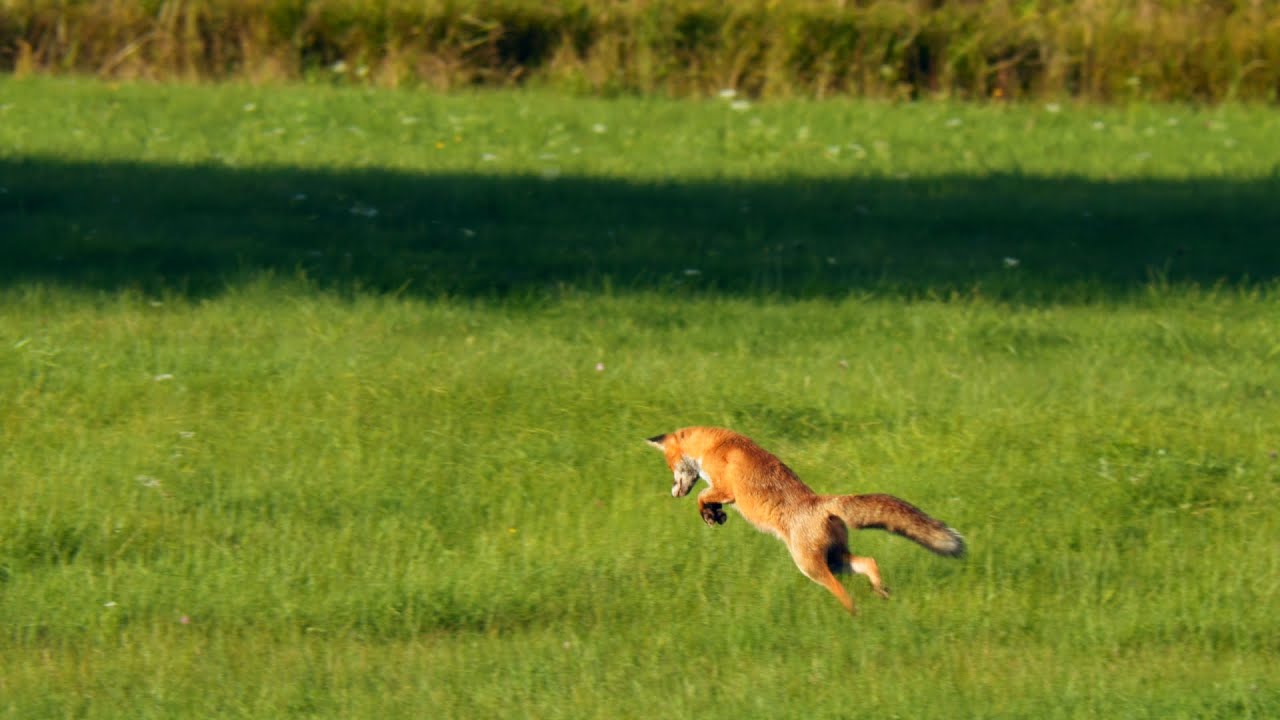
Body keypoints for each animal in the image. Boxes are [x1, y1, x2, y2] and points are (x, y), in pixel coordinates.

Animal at [646, 426, 965, 614]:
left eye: (671, 466)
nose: (673, 492)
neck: (716, 445)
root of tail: (822, 503)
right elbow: (707, 500)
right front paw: (715, 515)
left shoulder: (726, 489)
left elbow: (702, 497)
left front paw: (709, 514)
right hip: (836, 560)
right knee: (869, 562)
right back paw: (880, 593)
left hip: (810, 566)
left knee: (844, 593)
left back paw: (854, 616)